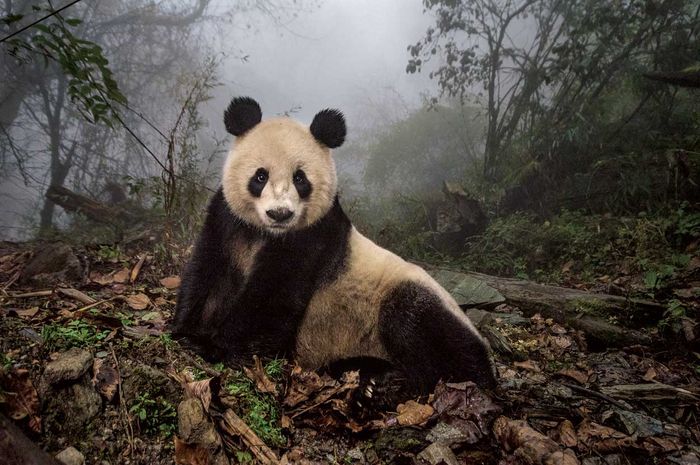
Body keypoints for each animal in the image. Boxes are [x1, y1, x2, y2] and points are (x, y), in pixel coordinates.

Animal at [173, 96, 497, 404]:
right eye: (260, 176)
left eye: (300, 178)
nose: (280, 214)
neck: (266, 234)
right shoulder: (226, 220)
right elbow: (206, 271)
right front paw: (186, 331)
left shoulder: (312, 237)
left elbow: (272, 299)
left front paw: (218, 345)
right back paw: (368, 376)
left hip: (410, 298)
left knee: (425, 332)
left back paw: (391, 383)